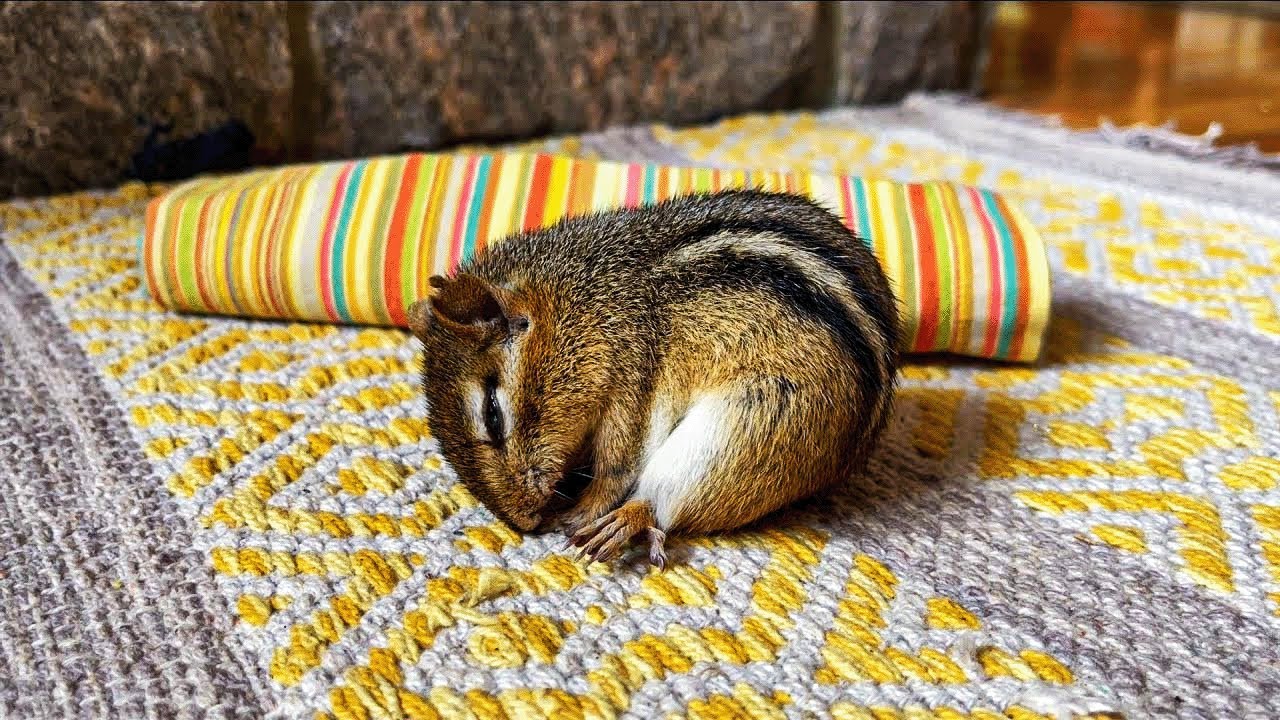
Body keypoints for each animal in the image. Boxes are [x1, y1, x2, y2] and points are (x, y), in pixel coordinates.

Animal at [408, 189, 901, 568]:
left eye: (492, 413)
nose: (524, 523)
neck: (586, 302)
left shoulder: (631, 380)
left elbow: (617, 466)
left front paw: (581, 510)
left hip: (744, 431)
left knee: (663, 501)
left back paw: (623, 522)